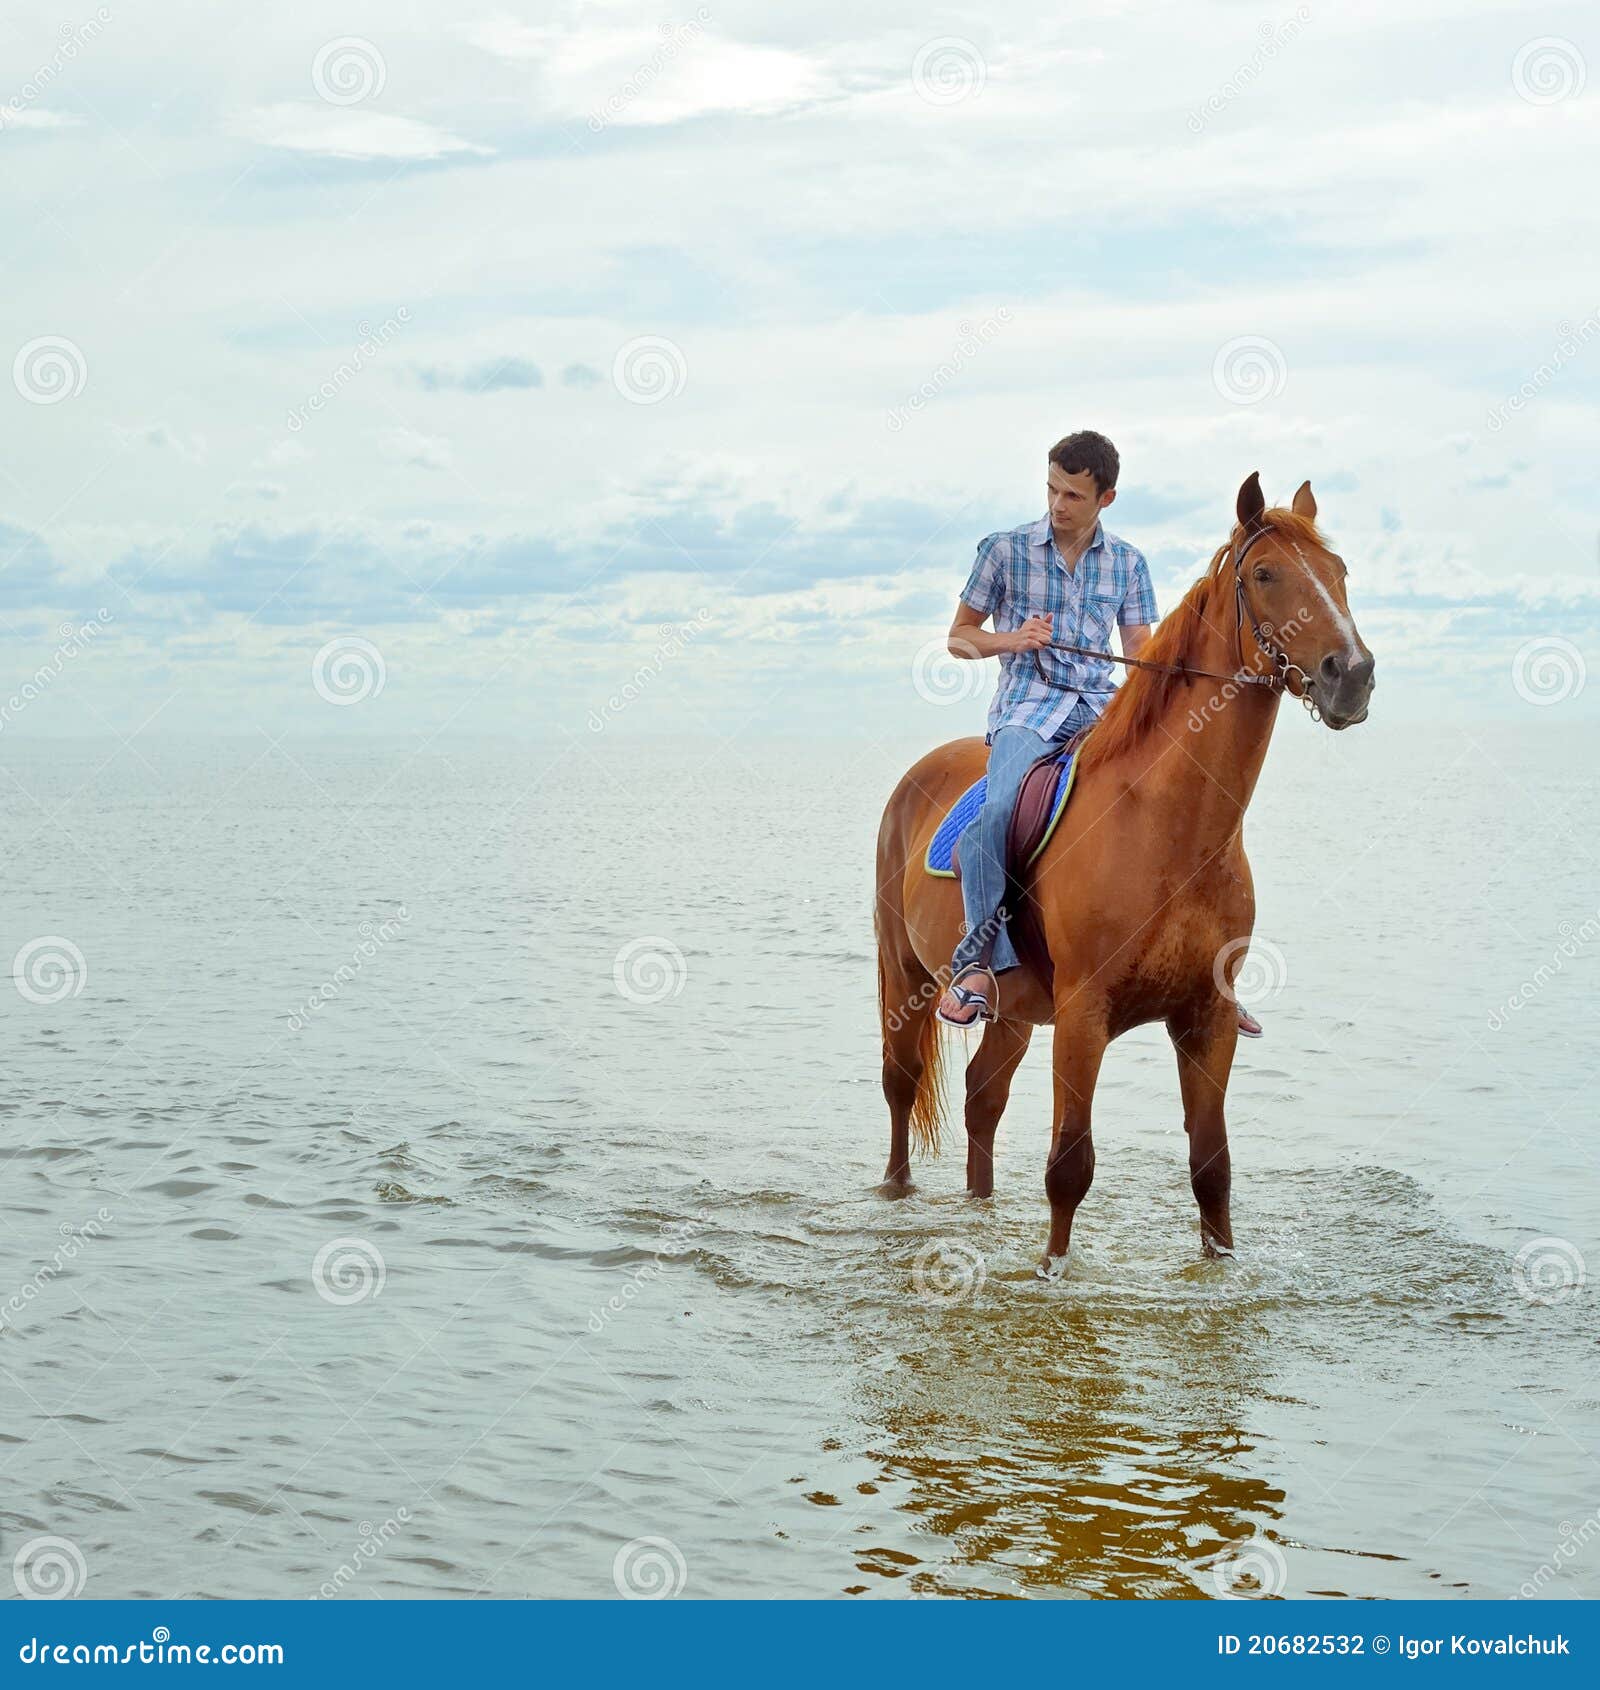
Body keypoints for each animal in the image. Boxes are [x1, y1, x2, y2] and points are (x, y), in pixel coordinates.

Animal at [873, 473, 1374, 1275]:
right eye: (1267, 575)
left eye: (1340, 574)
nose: (1351, 676)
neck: (1168, 826)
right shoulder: (1085, 1016)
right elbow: (1069, 1166)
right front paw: (1051, 1274)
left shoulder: (1207, 1018)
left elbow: (1211, 1168)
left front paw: (1220, 1272)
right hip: (906, 974)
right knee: (900, 1086)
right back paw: (896, 1192)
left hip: (1013, 1010)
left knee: (983, 1099)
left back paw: (980, 1206)